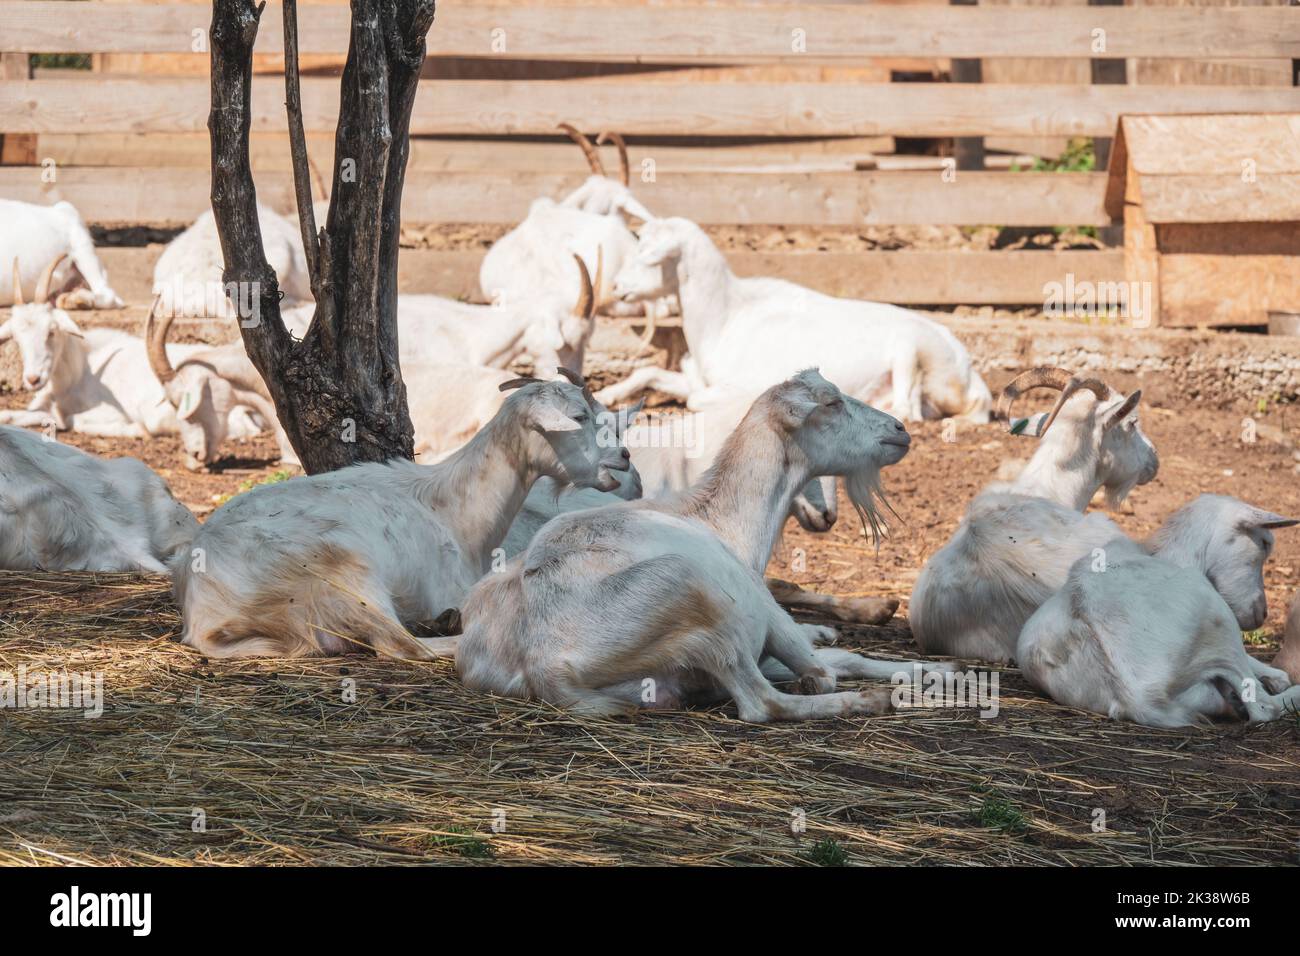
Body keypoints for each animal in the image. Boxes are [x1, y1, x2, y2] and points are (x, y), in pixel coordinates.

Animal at [174, 377, 631, 660]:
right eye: (579, 418)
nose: (624, 457)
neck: (451, 510)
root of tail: (203, 613)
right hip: (341, 571)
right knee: (405, 645)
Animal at [456, 370, 951, 723]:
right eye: (831, 402)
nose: (900, 429)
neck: (721, 520)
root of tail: (543, 662)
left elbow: (842, 654)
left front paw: (941, 670)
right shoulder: (763, 608)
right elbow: (822, 662)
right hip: (696, 595)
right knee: (761, 704)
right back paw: (868, 701)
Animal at [598, 217, 993, 423]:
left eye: (648, 255)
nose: (617, 287)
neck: (725, 318)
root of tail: (970, 376)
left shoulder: (741, 384)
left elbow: (696, 401)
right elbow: (650, 373)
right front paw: (605, 394)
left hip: (910, 349)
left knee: (907, 410)